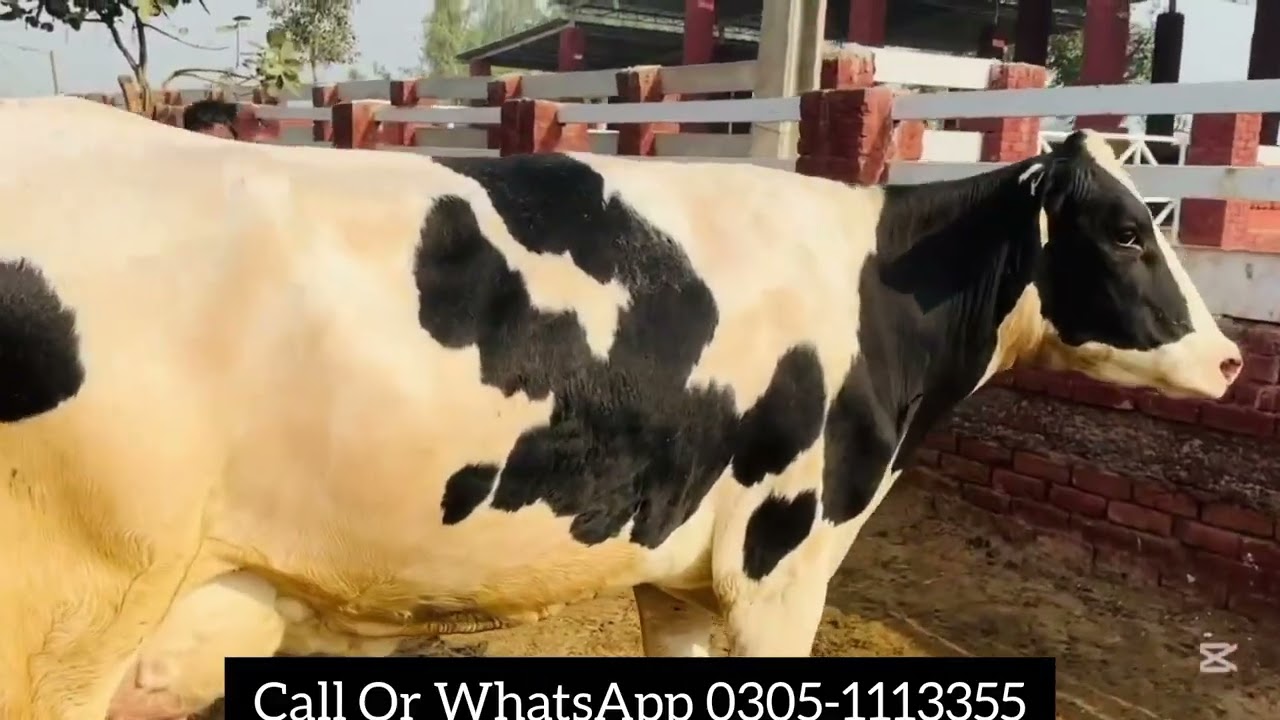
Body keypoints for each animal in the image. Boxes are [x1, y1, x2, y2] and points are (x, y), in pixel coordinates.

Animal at [0, 96, 1240, 720]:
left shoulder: (682, 577)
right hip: (72, 613)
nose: (1232, 363)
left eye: (1157, 214)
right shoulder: (780, 564)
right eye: (1123, 229)